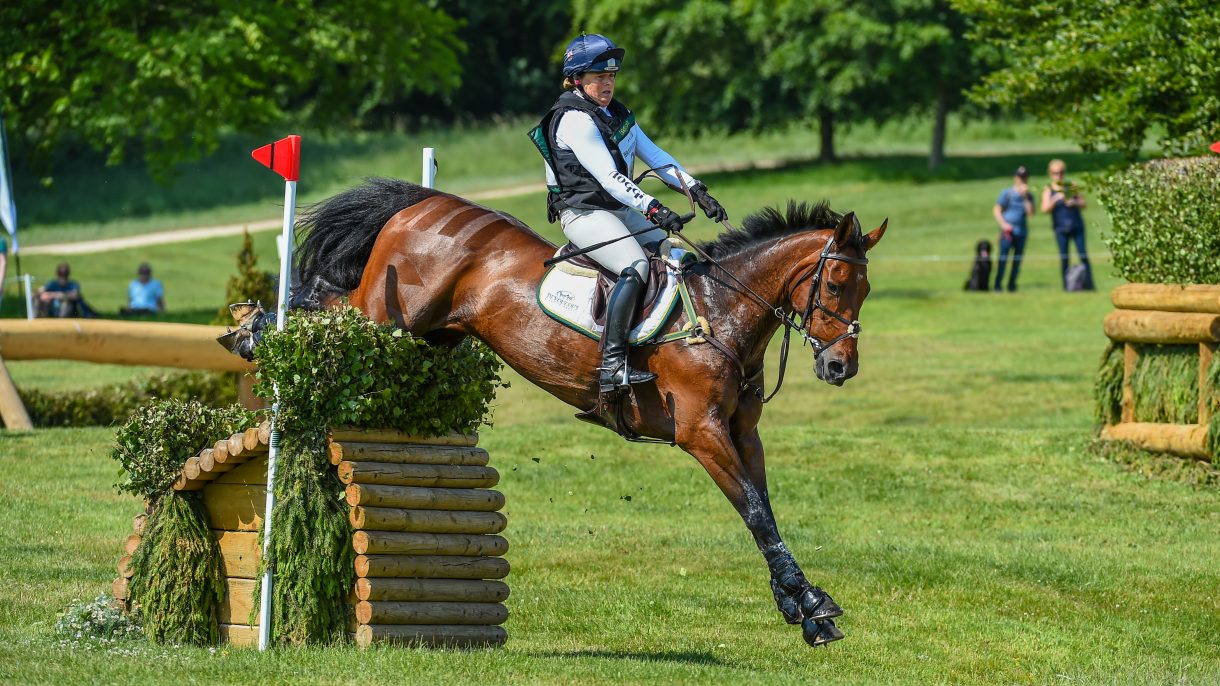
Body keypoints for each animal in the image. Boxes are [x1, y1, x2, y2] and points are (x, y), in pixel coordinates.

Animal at [229, 178, 886, 647]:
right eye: (834, 285)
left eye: (865, 291)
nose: (840, 368)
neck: (721, 313)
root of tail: (422, 205)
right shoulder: (701, 433)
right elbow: (753, 511)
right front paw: (810, 607)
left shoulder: (743, 434)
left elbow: (764, 510)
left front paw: (804, 606)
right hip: (390, 315)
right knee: (329, 304)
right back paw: (252, 328)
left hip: (429, 333)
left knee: (332, 299)